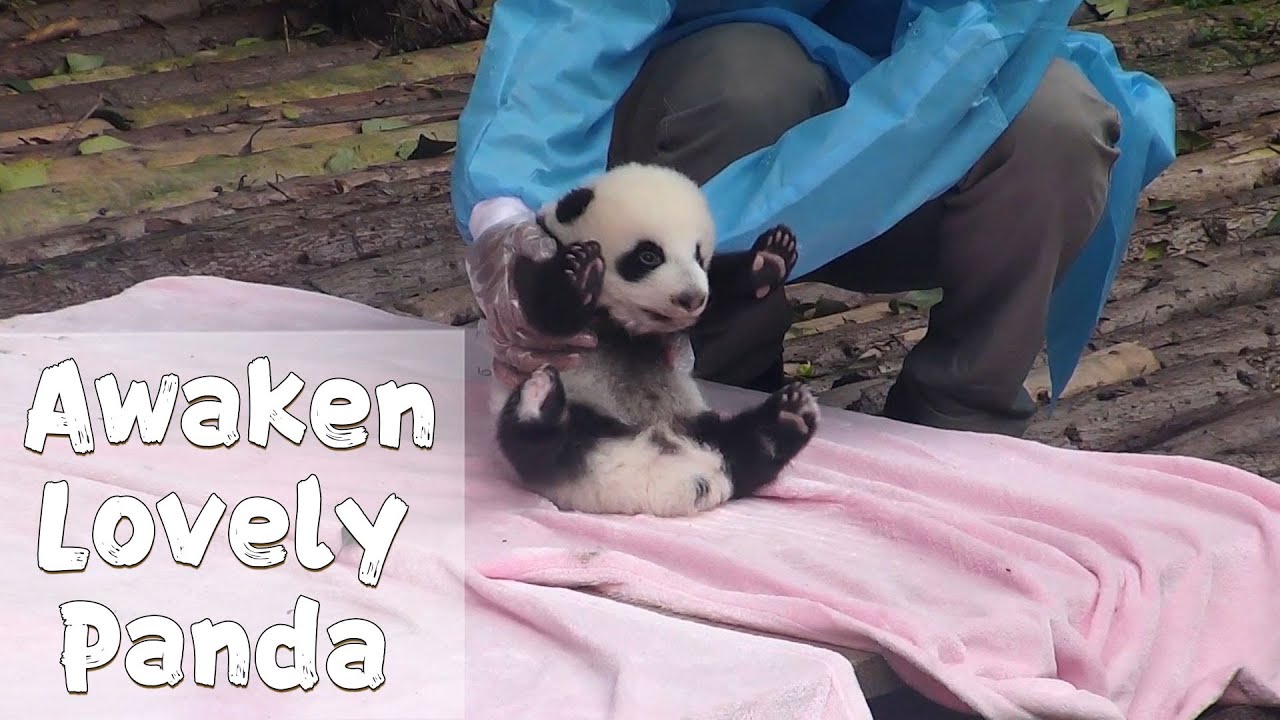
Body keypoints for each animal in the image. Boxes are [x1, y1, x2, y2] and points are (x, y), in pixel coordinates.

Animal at [494, 162, 820, 517]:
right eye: (649, 256)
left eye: (698, 256)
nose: (691, 298)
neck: (624, 323)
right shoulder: (538, 252)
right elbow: (545, 315)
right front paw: (581, 272)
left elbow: (717, 301)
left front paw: (770, 259)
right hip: (577, 419)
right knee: (536, 445)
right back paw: (538, 398)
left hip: (698, 424)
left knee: (745, 450)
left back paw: (790, 416)